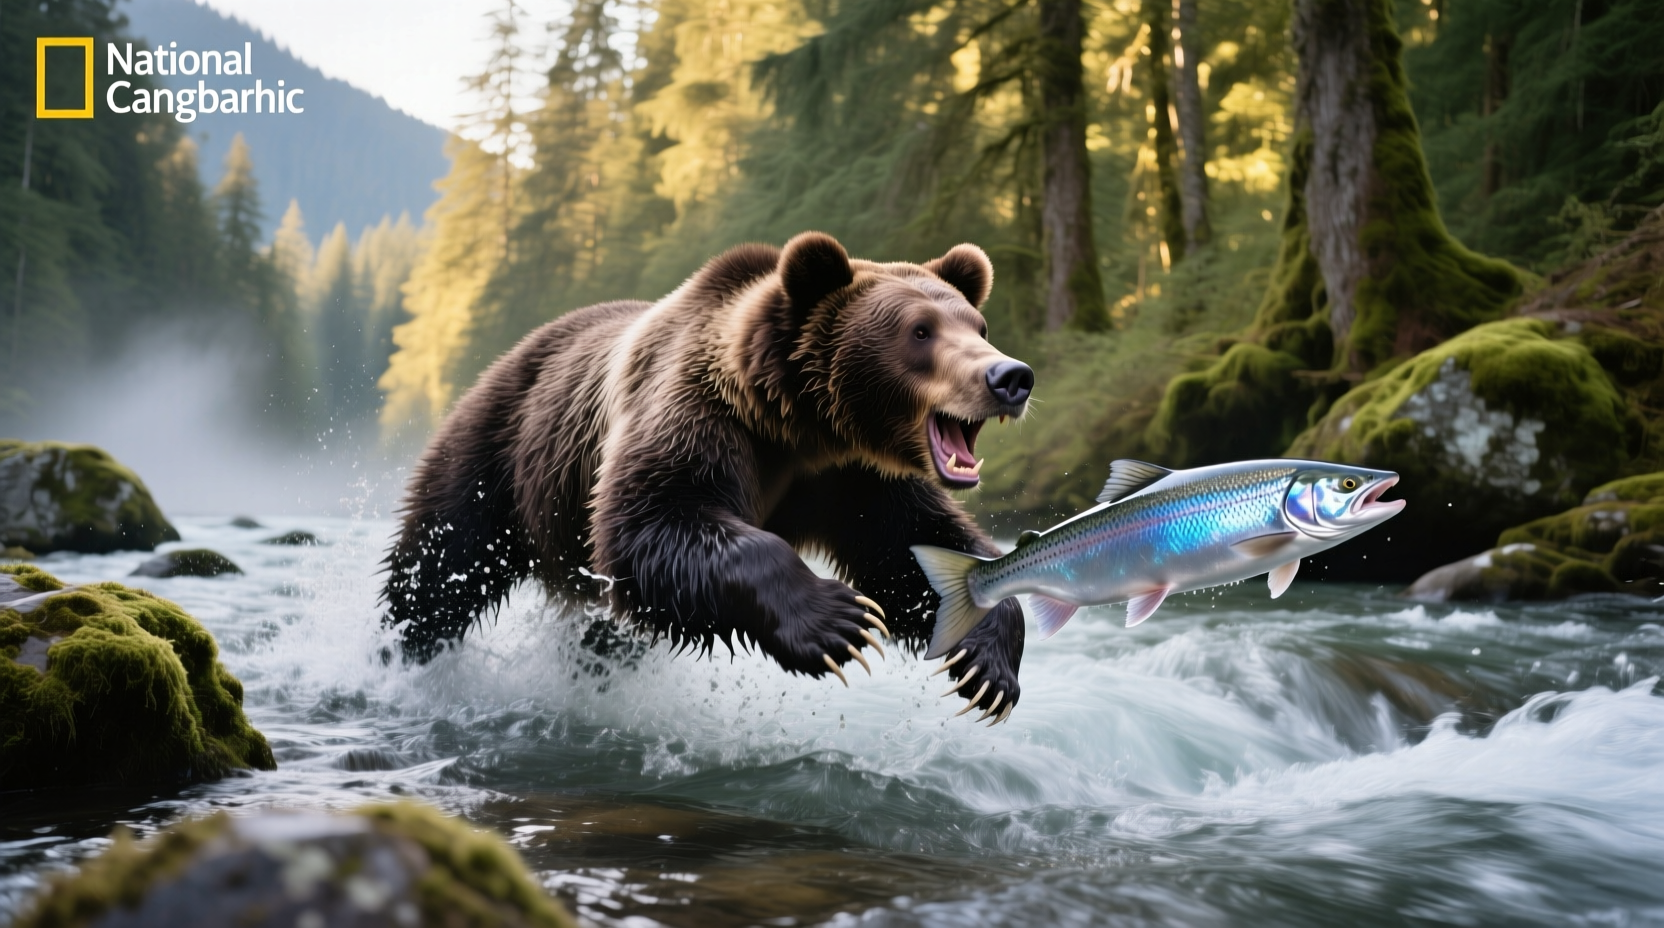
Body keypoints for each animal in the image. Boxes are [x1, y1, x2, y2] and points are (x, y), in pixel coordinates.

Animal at [380, 232, 1034, 721]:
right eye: (920, 330)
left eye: (976, 325)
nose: (1011, 376)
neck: (799, 424)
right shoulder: (700, 416)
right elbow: (653, 520)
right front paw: (840, 621)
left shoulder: (855, 478)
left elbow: (913, 546)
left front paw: (985, 663)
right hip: (500, 448)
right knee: (441, 563)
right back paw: (401, 654)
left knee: (602, 631)